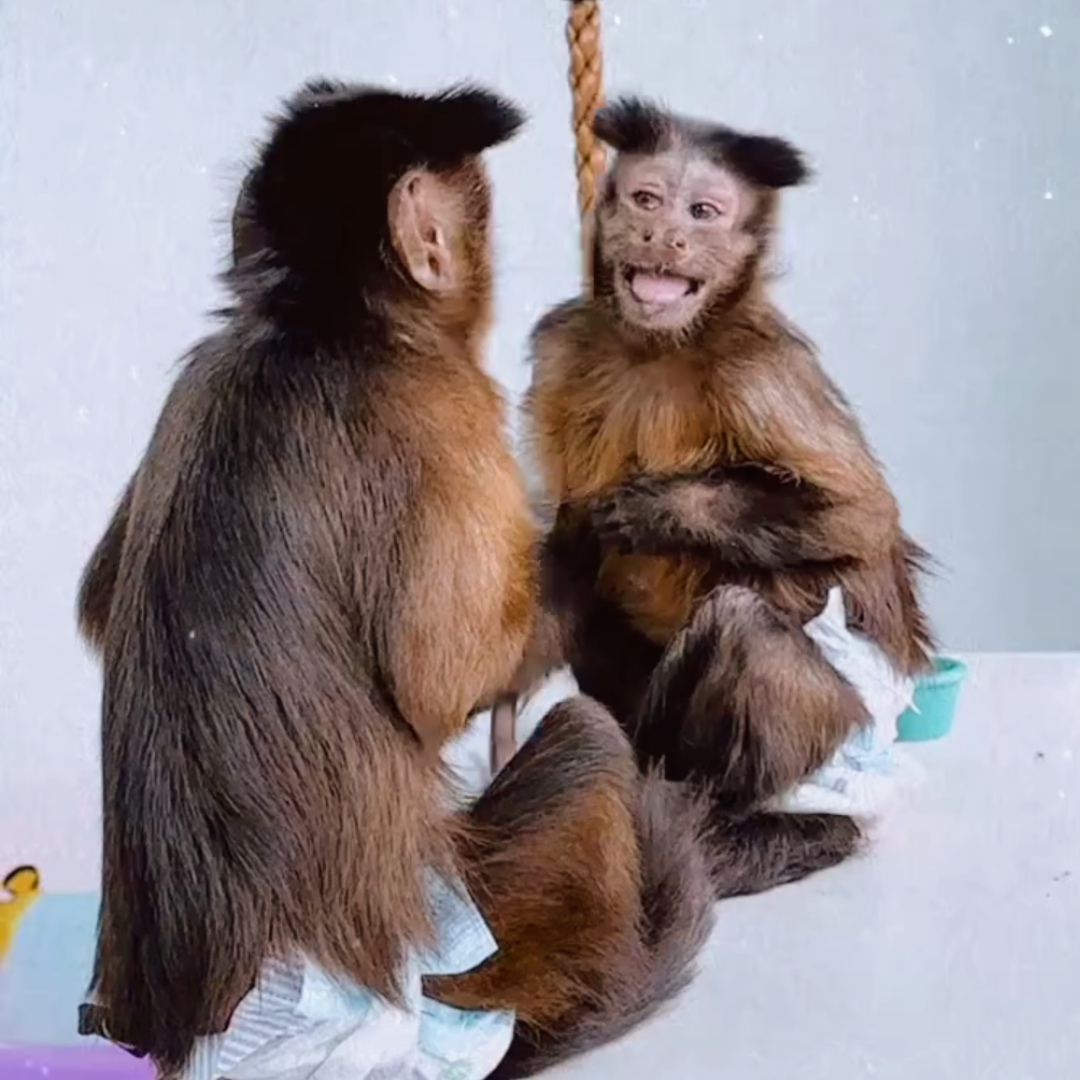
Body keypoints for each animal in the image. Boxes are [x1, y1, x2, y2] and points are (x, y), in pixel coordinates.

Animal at [73, 81, 716, 1079]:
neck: (318, 321)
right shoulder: (439, 409)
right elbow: (438, 684)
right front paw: (572, 546)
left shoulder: (199, 379)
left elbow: (97, 604)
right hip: (478, 954)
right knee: (586, 742)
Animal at [520, 96, 935, 882]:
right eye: (647, 199)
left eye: (704, 212)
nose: (665, 235)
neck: (660, 346)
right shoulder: (562, 345)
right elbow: (565, 538)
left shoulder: (761, 373)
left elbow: (862, 518)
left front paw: (657, 509)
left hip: (850, 726)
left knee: (747, 631)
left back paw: (742, 826)